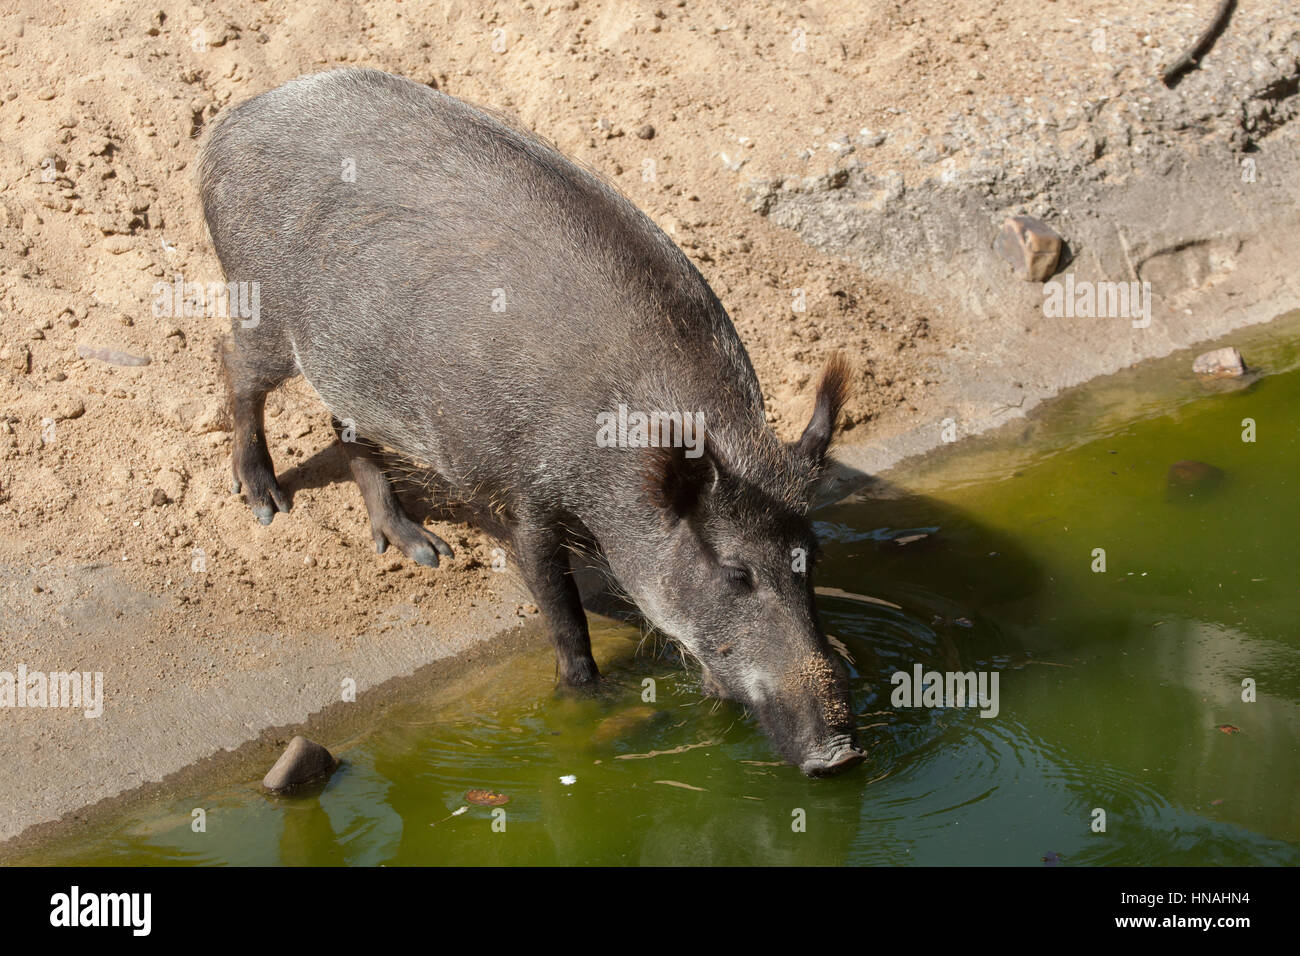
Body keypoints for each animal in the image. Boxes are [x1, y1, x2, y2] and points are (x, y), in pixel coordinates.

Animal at [198, 69, 864, 776]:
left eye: (813, 559)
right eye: (738, 574)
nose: (843, 755)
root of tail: (230, 123)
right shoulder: (520, 497)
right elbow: (564, 616)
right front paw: (584, 704)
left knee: (341, 421)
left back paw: (424, 552)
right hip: (260, 306)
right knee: (233, 364)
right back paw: (266, 503)